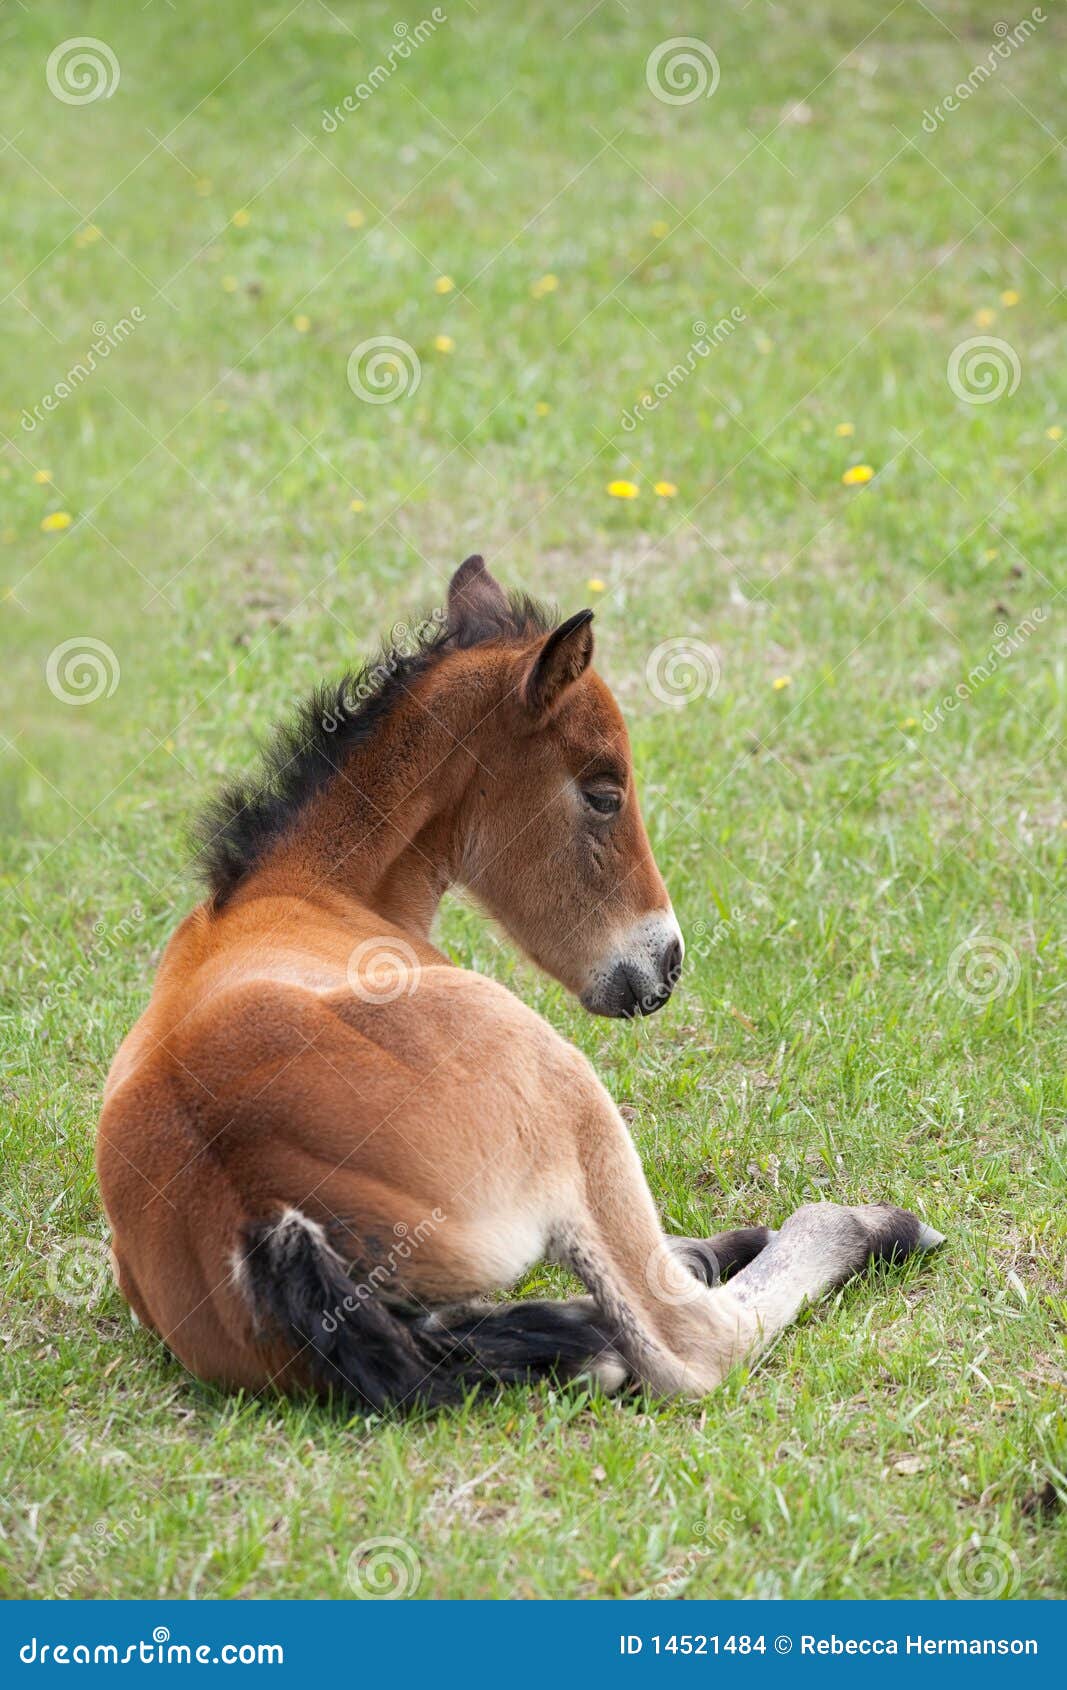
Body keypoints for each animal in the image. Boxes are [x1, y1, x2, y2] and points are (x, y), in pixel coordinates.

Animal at [96, 555, 943, 1411]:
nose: (665, 962)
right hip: (565, 1087)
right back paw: (868, 1227)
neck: (304, 890)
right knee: (687, 1340)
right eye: (603, 791)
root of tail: (253, 1203)